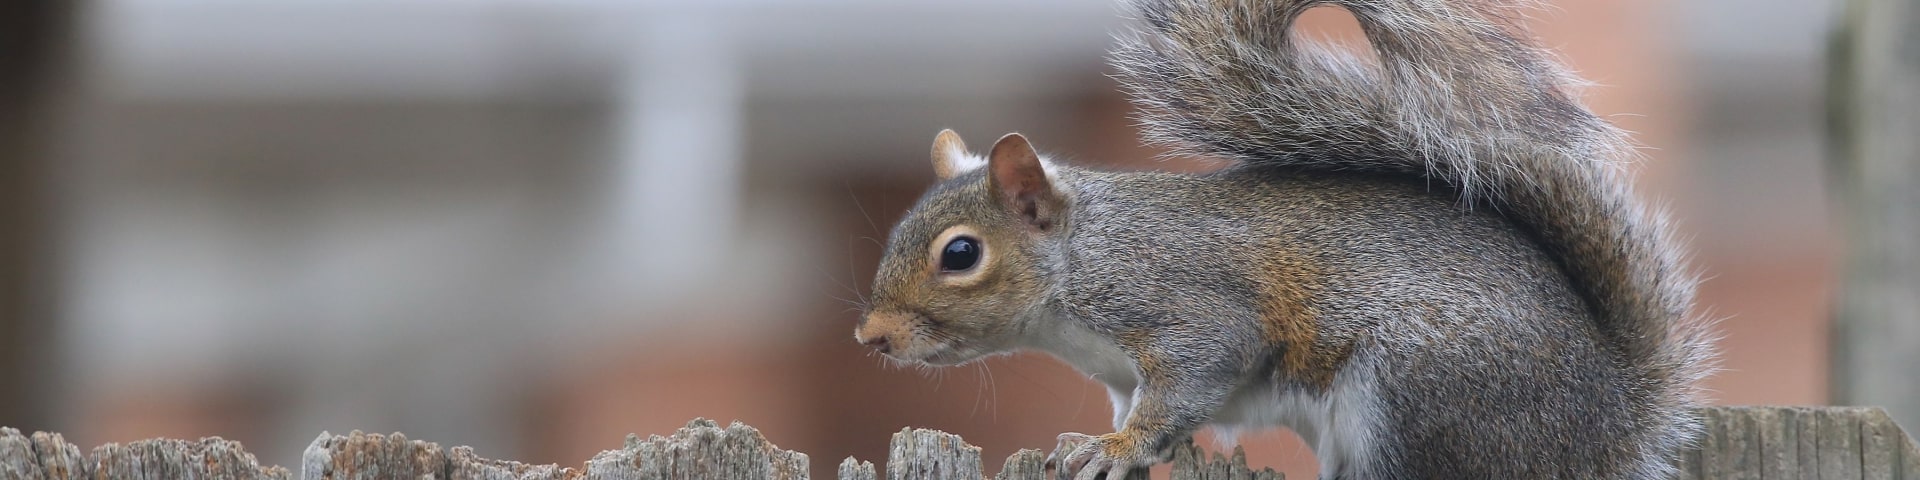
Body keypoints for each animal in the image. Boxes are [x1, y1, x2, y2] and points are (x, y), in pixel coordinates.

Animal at [853, 0, 1716, 478]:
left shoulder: (1183, 303)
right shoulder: (1121, 369)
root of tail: (1608, 426)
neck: (1078, 259)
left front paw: (1120, 445)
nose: (871, 338)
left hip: (1418, 388)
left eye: (960, 254)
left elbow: (1192, 375)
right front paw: (1111, 441)